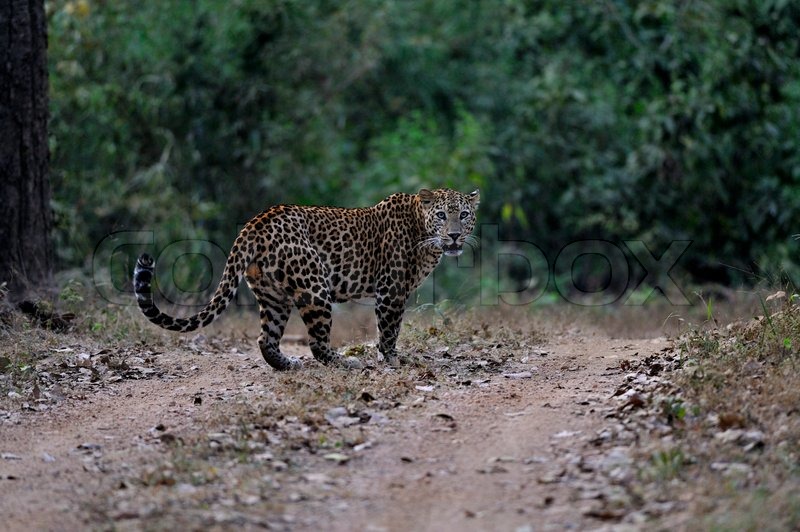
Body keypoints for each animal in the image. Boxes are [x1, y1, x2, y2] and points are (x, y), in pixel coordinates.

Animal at [133, 188, 480, 370]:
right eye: (441, 215)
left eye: (463, 215)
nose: (454, 235)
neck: (423, 233)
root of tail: (255, 223)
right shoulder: (391, 291)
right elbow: (389, 330)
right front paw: (392, 361)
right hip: (314, 286)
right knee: (316, 342)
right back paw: (345, 363)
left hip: (273, 294)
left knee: (266, 339)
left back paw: (289, 365)